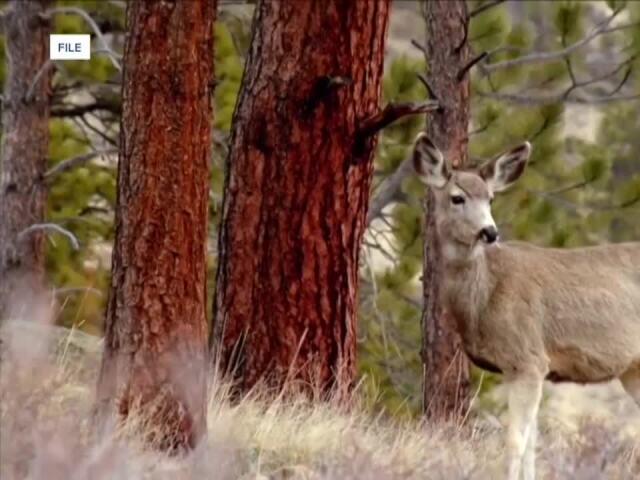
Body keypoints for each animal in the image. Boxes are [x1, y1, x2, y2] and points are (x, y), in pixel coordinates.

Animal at [412, 133, 640, 480]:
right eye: (457, 198)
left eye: (491, 198)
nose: (490, 232)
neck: (484, 297)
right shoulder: (518, 367)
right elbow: (532, 445)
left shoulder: (528, 358)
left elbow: (515, 444)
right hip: (634, 370)